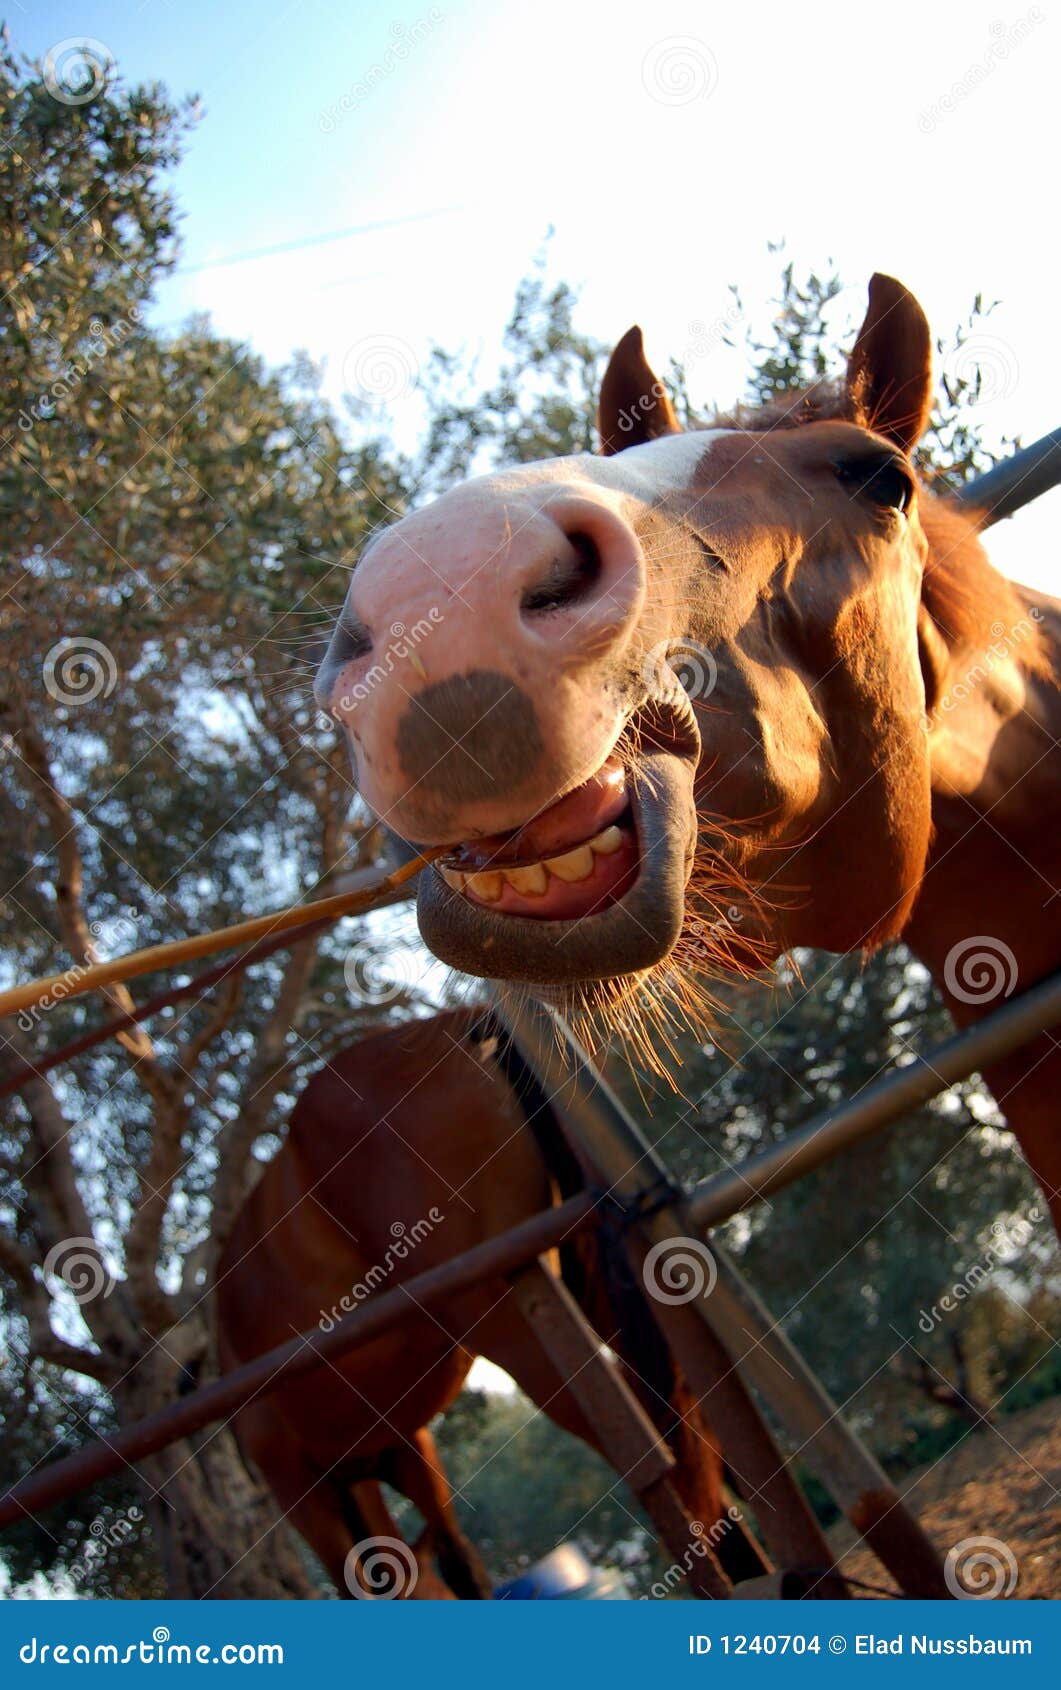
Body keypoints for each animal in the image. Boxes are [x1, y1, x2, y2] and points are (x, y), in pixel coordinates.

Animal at [216, 1009, 741, 1598]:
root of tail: (457, 1024)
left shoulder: (308, 1493)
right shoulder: (406, 1454)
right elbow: (458, 1561)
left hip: (522, 1326)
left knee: (652, 1459)